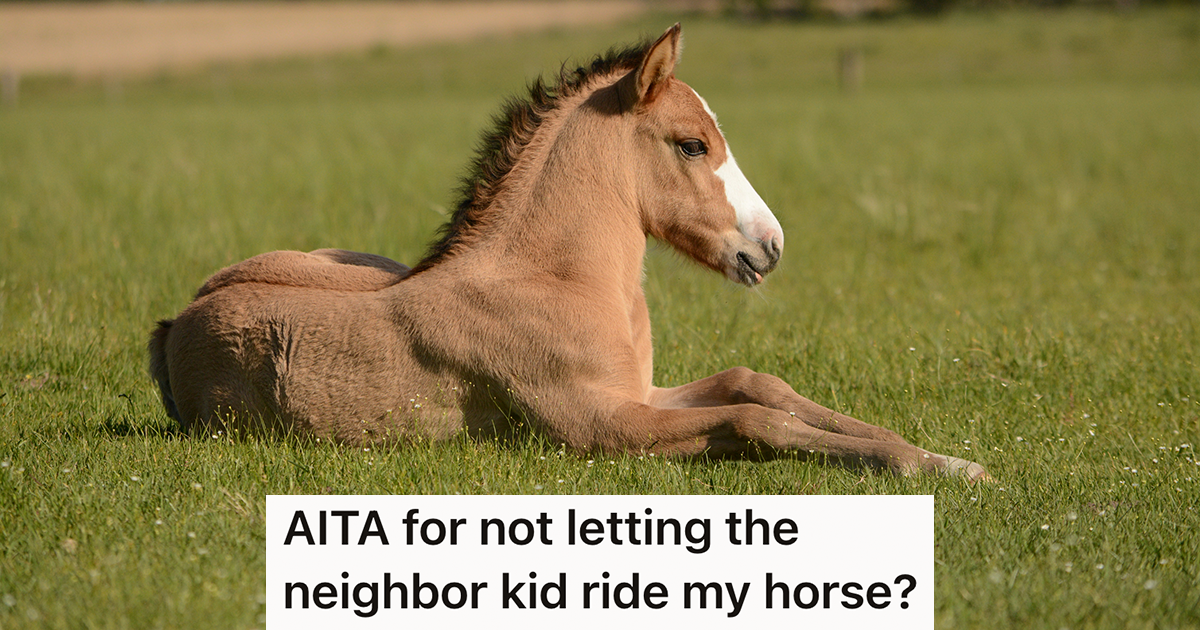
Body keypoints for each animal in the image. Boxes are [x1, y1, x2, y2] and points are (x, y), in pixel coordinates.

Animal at [149, 24, 988, 481]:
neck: (555, 282)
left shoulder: (641, 393)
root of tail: (174, 321)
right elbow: (757, 422)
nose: (770, 245)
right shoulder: (601, 427)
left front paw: (940, 457)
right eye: (692, 144)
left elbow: (760, 385)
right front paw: (926, 465)